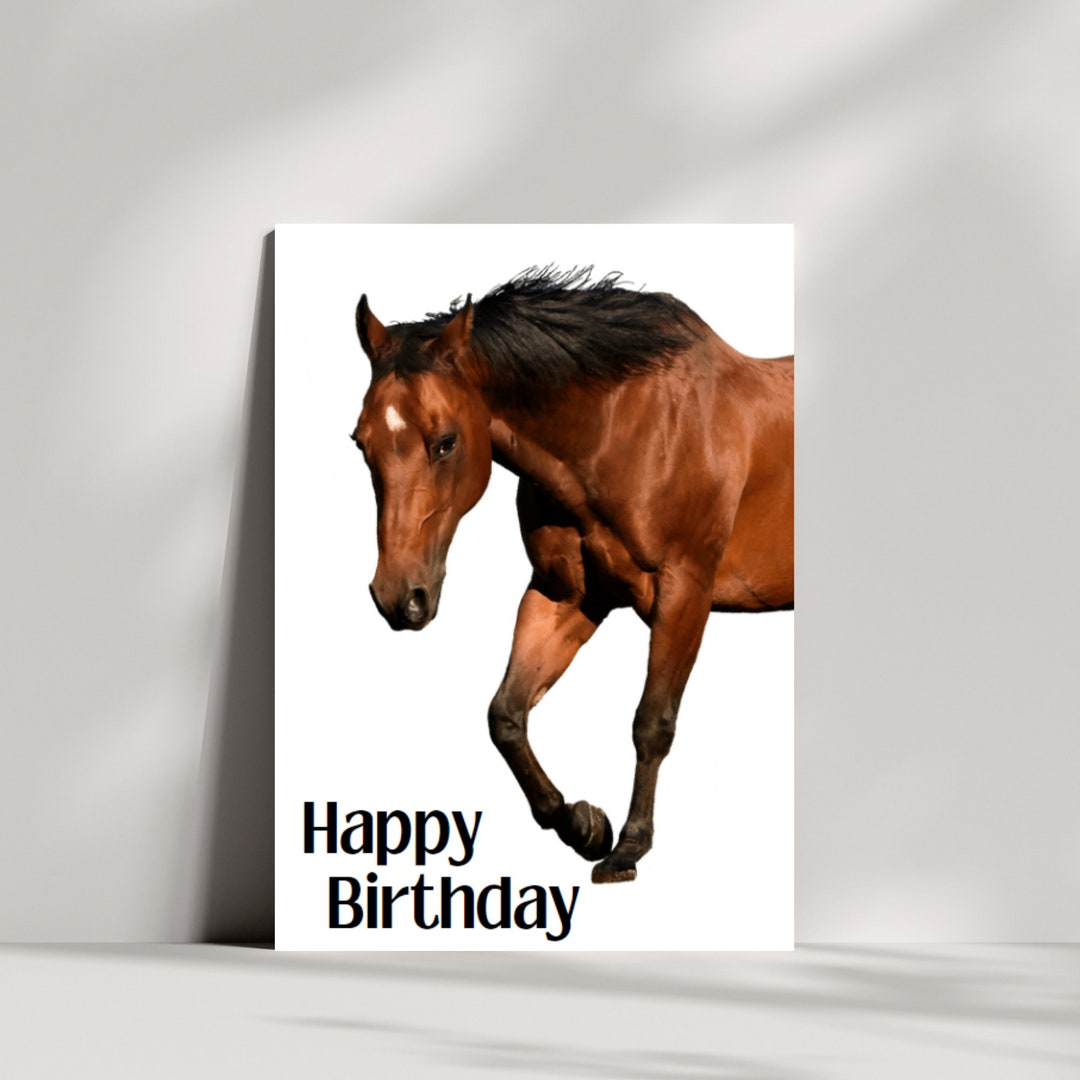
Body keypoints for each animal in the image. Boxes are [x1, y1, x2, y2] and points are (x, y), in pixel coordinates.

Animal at [351, 267, 793, 883]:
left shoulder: (685, 594)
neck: (626, 431)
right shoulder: (567, 595)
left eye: (446, 442)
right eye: (360, 443)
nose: (398, 597)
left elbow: (651, 723)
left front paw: (627, 847)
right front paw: (581, 824)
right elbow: (506, 715)